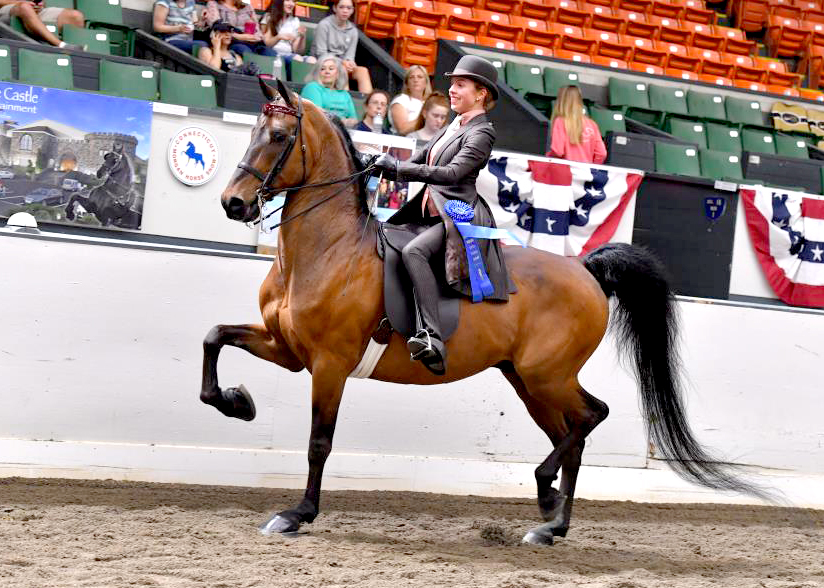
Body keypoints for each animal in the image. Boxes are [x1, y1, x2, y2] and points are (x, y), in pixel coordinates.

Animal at [201, 78, 769, 546]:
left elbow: (319, 441)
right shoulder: (287, 348)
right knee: (572, 434)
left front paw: (297, 514)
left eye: (278, 136)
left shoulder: (329, 364)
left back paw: (545, 496)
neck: (327, 249)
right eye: (253, 131)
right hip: (528, 380)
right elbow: (214, 337)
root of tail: (585, 269)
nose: (233, 203)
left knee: (592, 416)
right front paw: (236, 402)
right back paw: (552, 525)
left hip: (546, 375)